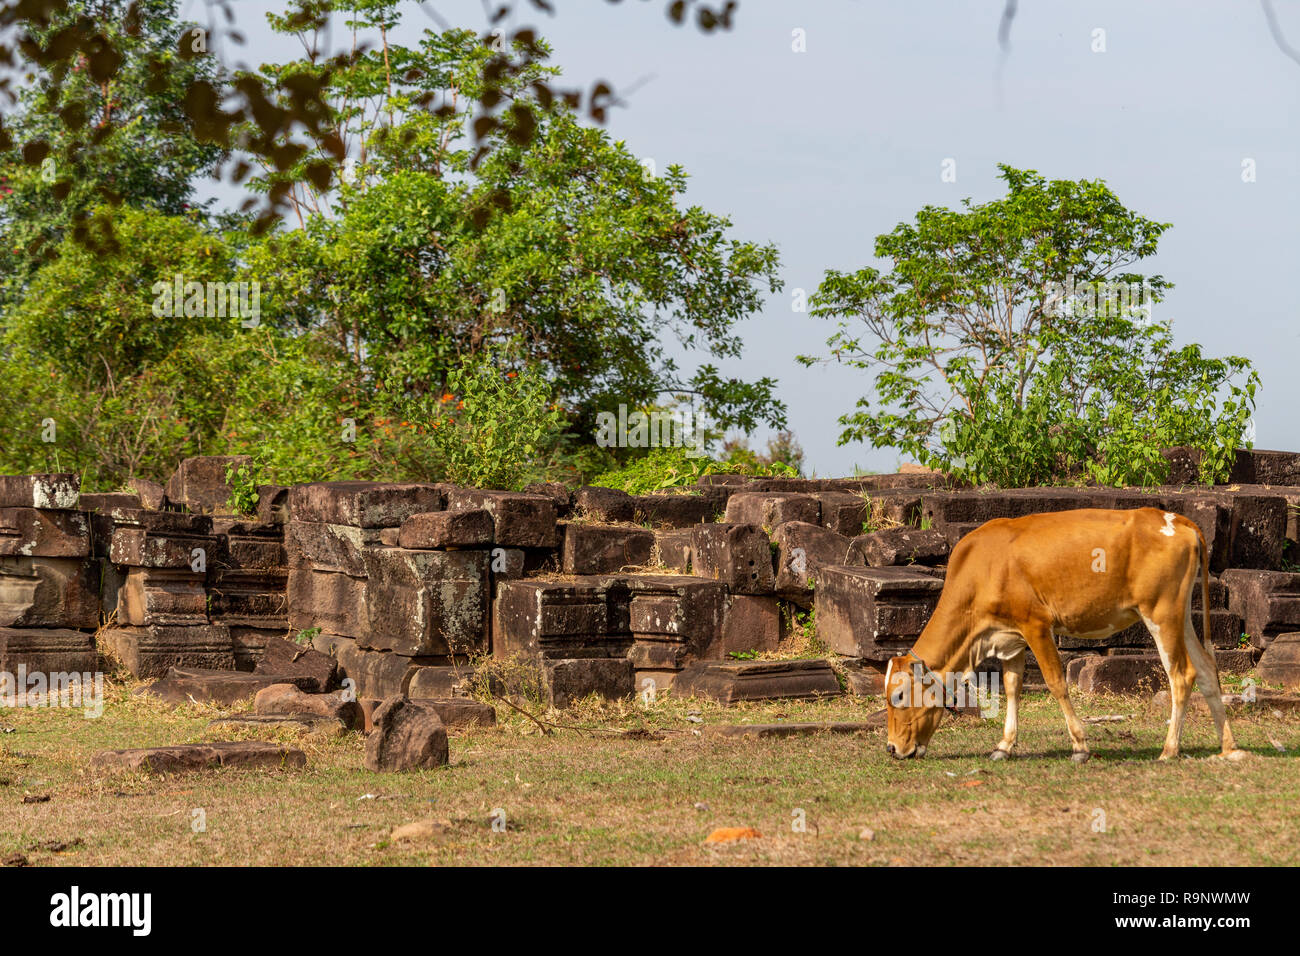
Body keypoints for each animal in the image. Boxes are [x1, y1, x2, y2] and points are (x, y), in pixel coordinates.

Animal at [884, 507, 1245, 762]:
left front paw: (1080, 746)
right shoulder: (1010, 637)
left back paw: (1169, 749)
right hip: (1180, 616)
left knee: (1181, 674)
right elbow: (1012, 687)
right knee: (1207, 669)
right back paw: (1228, 745)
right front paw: (1004, 745)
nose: (891, 748)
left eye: (899, 696)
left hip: (1161, 612)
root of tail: (1175, 519)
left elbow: (1056, 682)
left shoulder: (1036, 624)